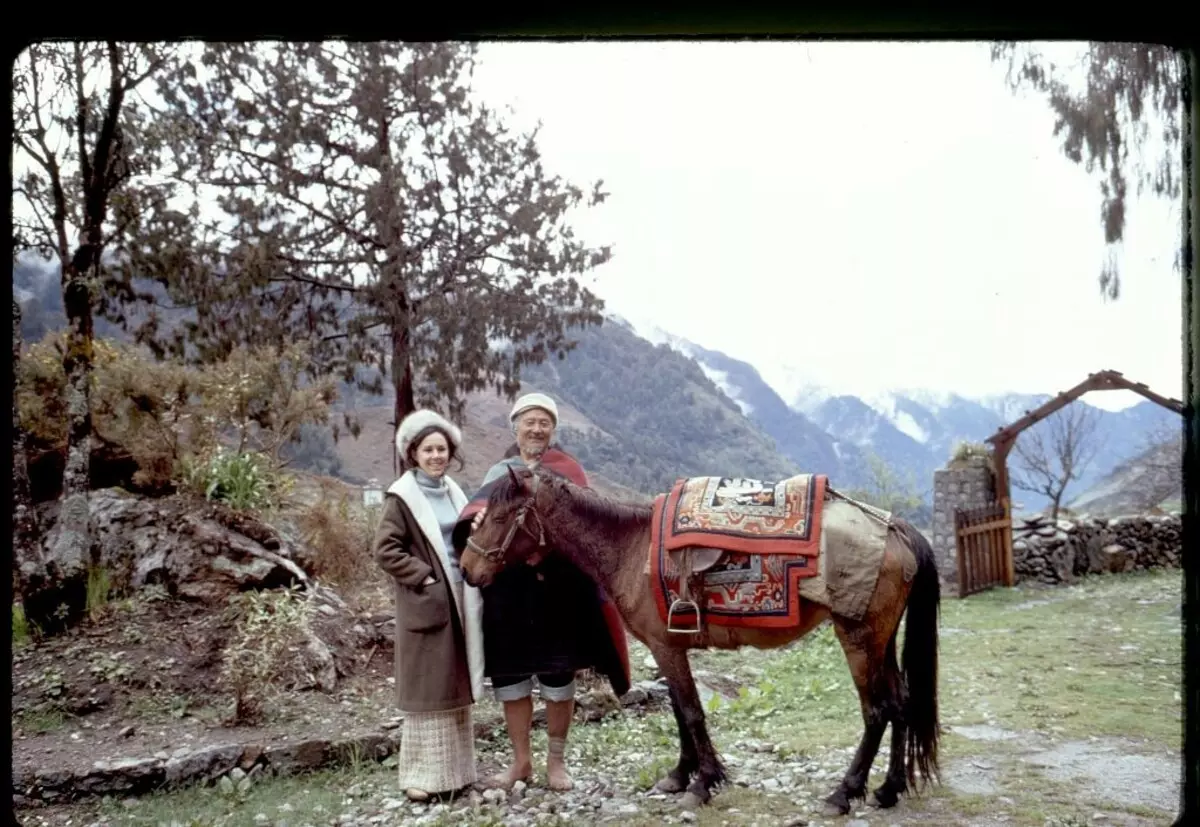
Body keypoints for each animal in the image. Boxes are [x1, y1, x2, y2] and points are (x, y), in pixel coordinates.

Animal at [458, 465, 936, 811]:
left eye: (498, 517)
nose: (466, 568)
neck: (630, 548)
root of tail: (894, 528)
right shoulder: (668, 648)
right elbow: (678, 710)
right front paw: (678, 775)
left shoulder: (666, 647)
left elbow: (690, 713)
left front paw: (702, 783)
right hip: (880, 640)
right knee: (900, 704)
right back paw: (888, 790)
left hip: (858, 637)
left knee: (877, 711)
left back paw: (844, 792)